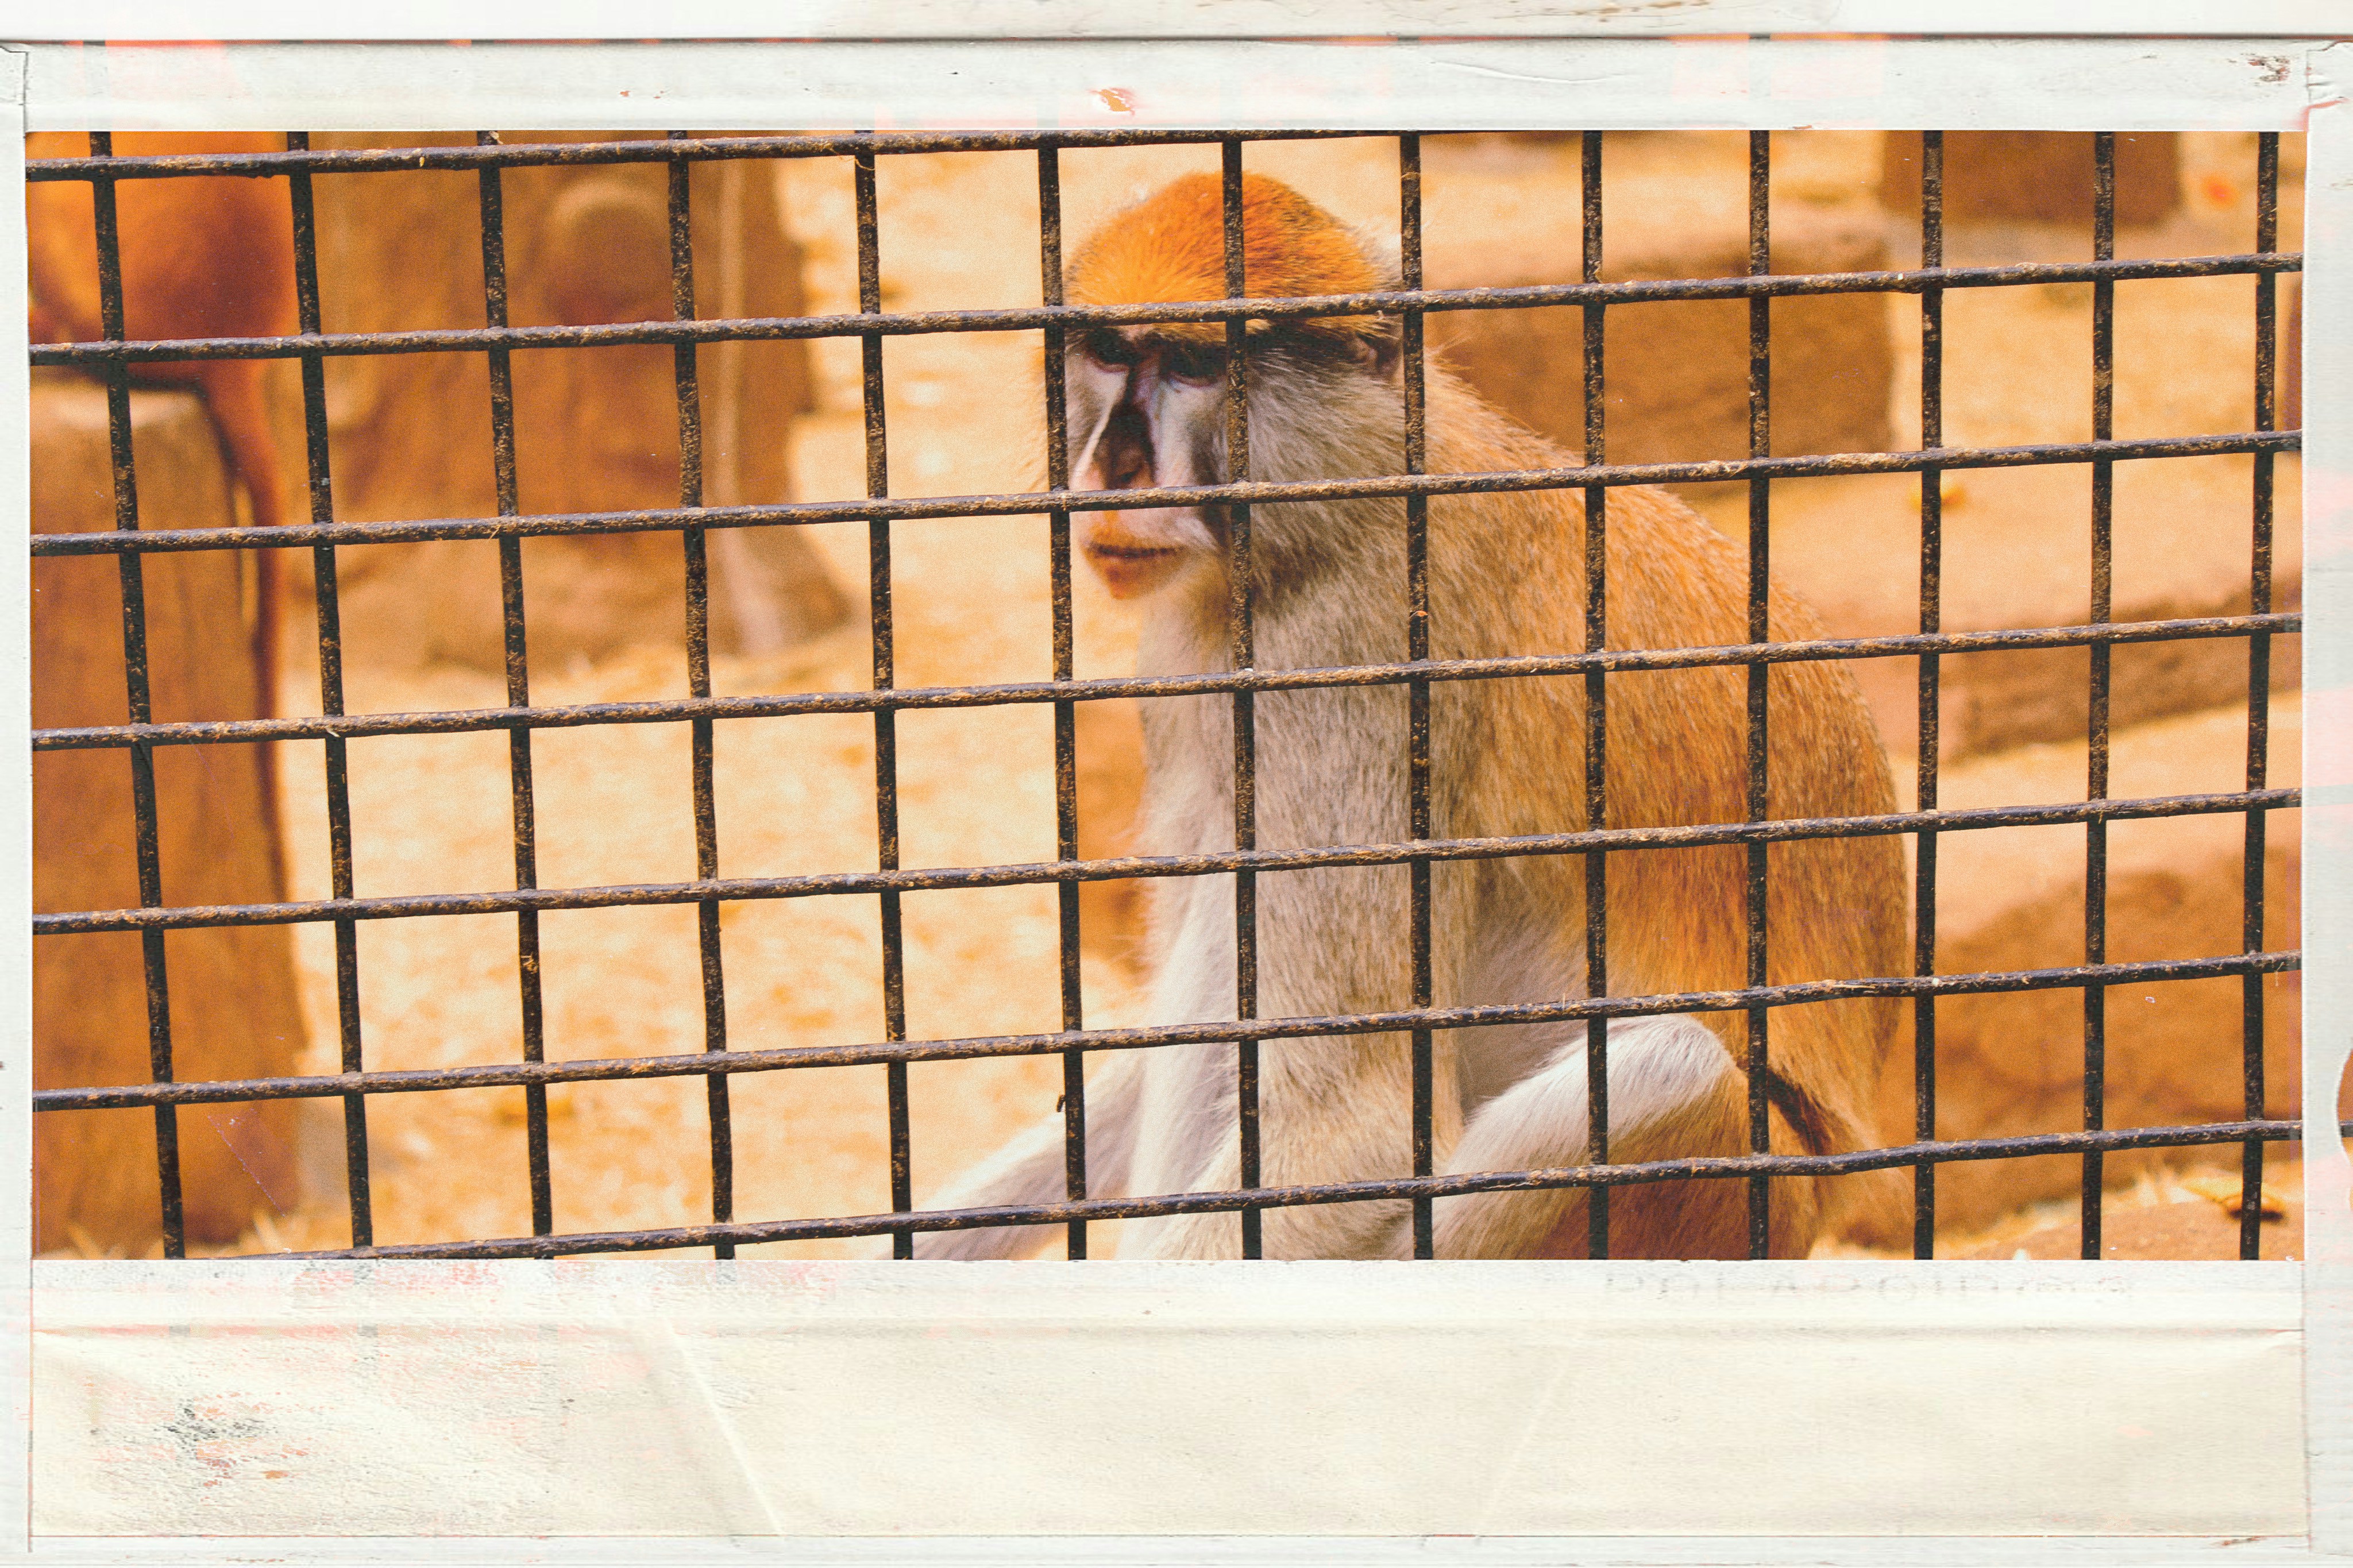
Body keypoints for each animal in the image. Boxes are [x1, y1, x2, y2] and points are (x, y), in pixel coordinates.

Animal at [914, 172, 1905, 1261]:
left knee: (1668, 1070)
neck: (1333, 503)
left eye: (1193, 365)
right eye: (1108, 353)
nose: (1113, 467)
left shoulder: (1355, 659)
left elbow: (1358, 1124)